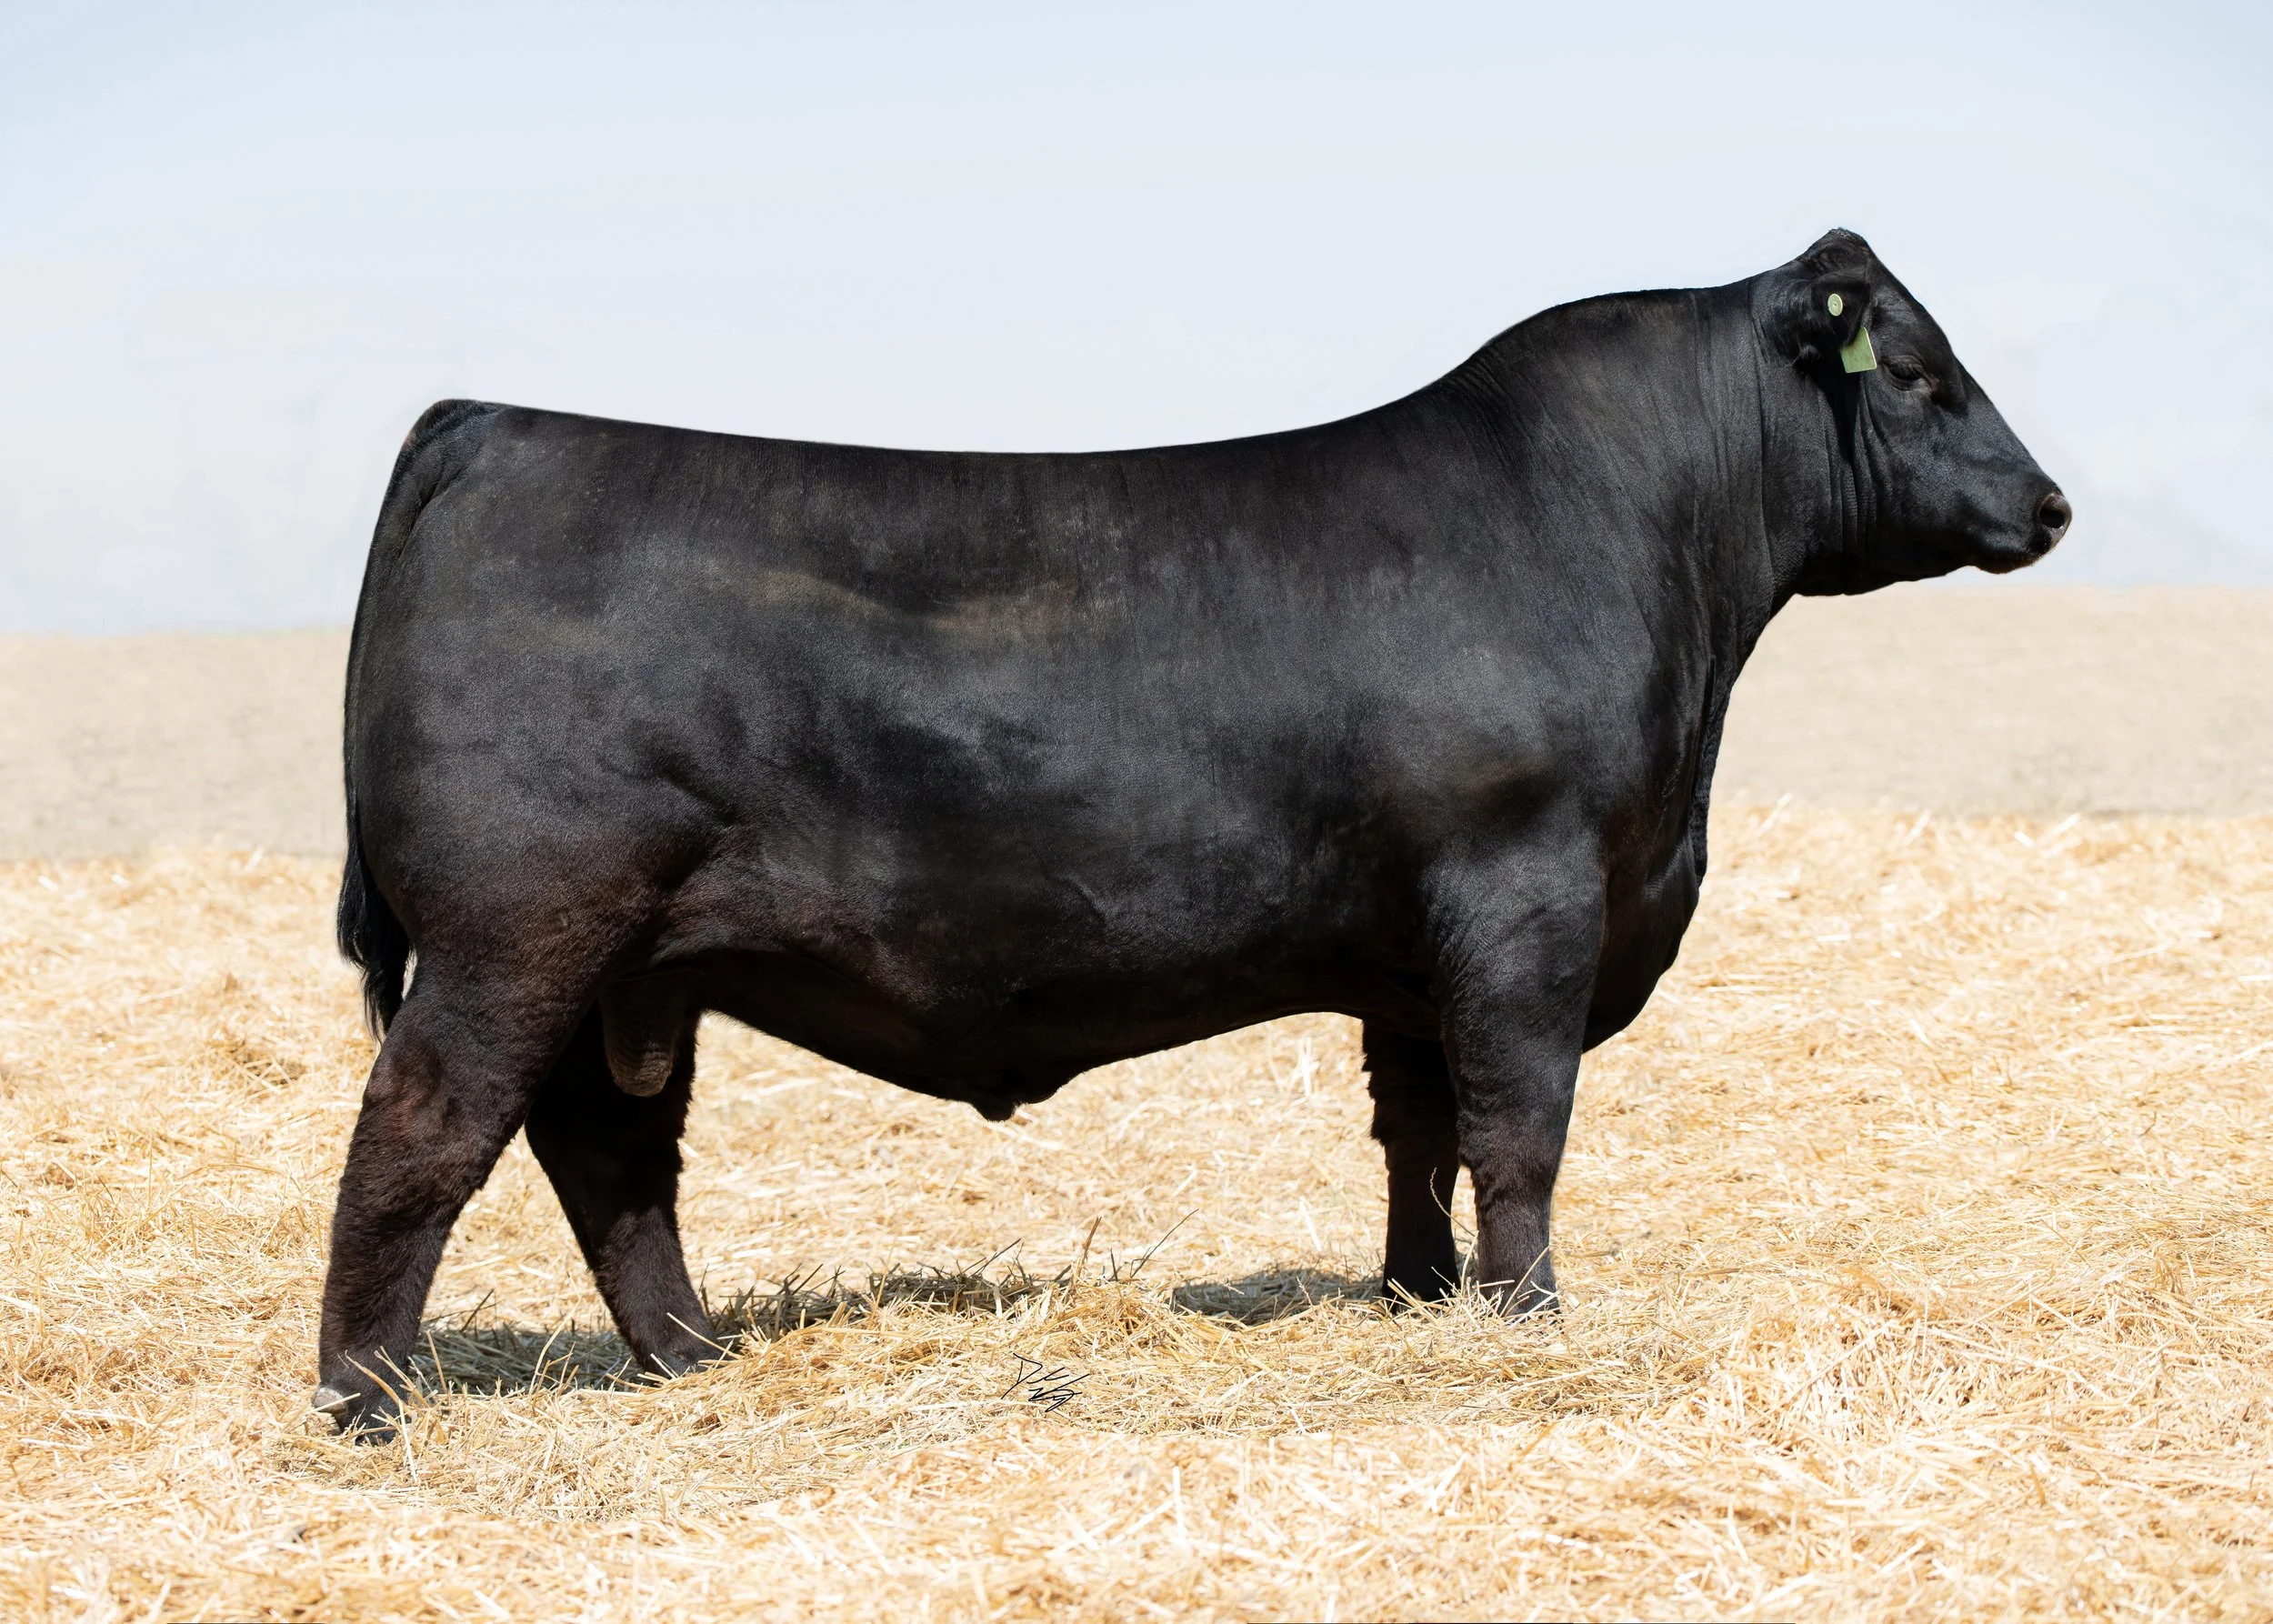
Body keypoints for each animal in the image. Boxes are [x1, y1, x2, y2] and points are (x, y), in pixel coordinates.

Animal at [315, 229, 2067, 1429]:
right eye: (1918, 372)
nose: (2050, 504)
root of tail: (488, 424)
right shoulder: (1526, 899)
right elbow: (1520, 1125)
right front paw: (1526, 1319)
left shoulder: (1410, 949)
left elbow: (1418, 1131)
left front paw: (1415, 1297)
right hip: (518, 929)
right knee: (424, 1125)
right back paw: (368, 1396)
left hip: (631, 971)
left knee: (608, 1154)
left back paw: (686, 1354)